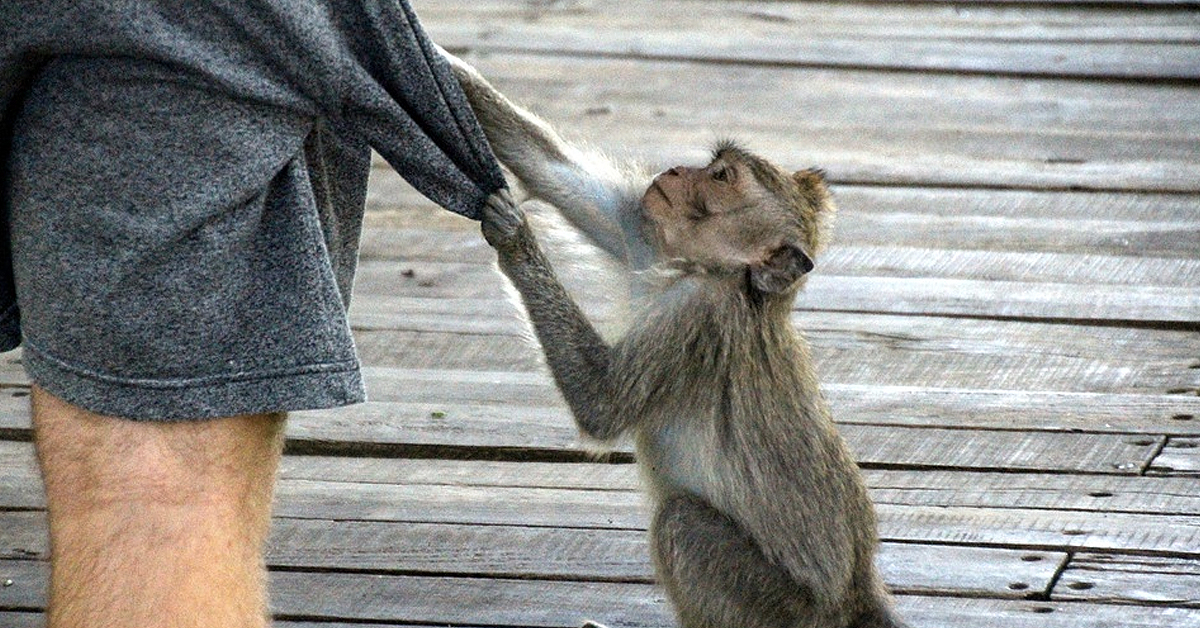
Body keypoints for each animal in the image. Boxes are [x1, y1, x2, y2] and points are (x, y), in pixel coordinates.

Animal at [448, 49, 910, 628]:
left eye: (721, 177)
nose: (674, 169)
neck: (712, 272)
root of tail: (856, 595)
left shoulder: (696, 314)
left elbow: (602, 404)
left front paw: (515, 236)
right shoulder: (651, 236)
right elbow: (547, 167)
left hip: (784, 611)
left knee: (681, 523)